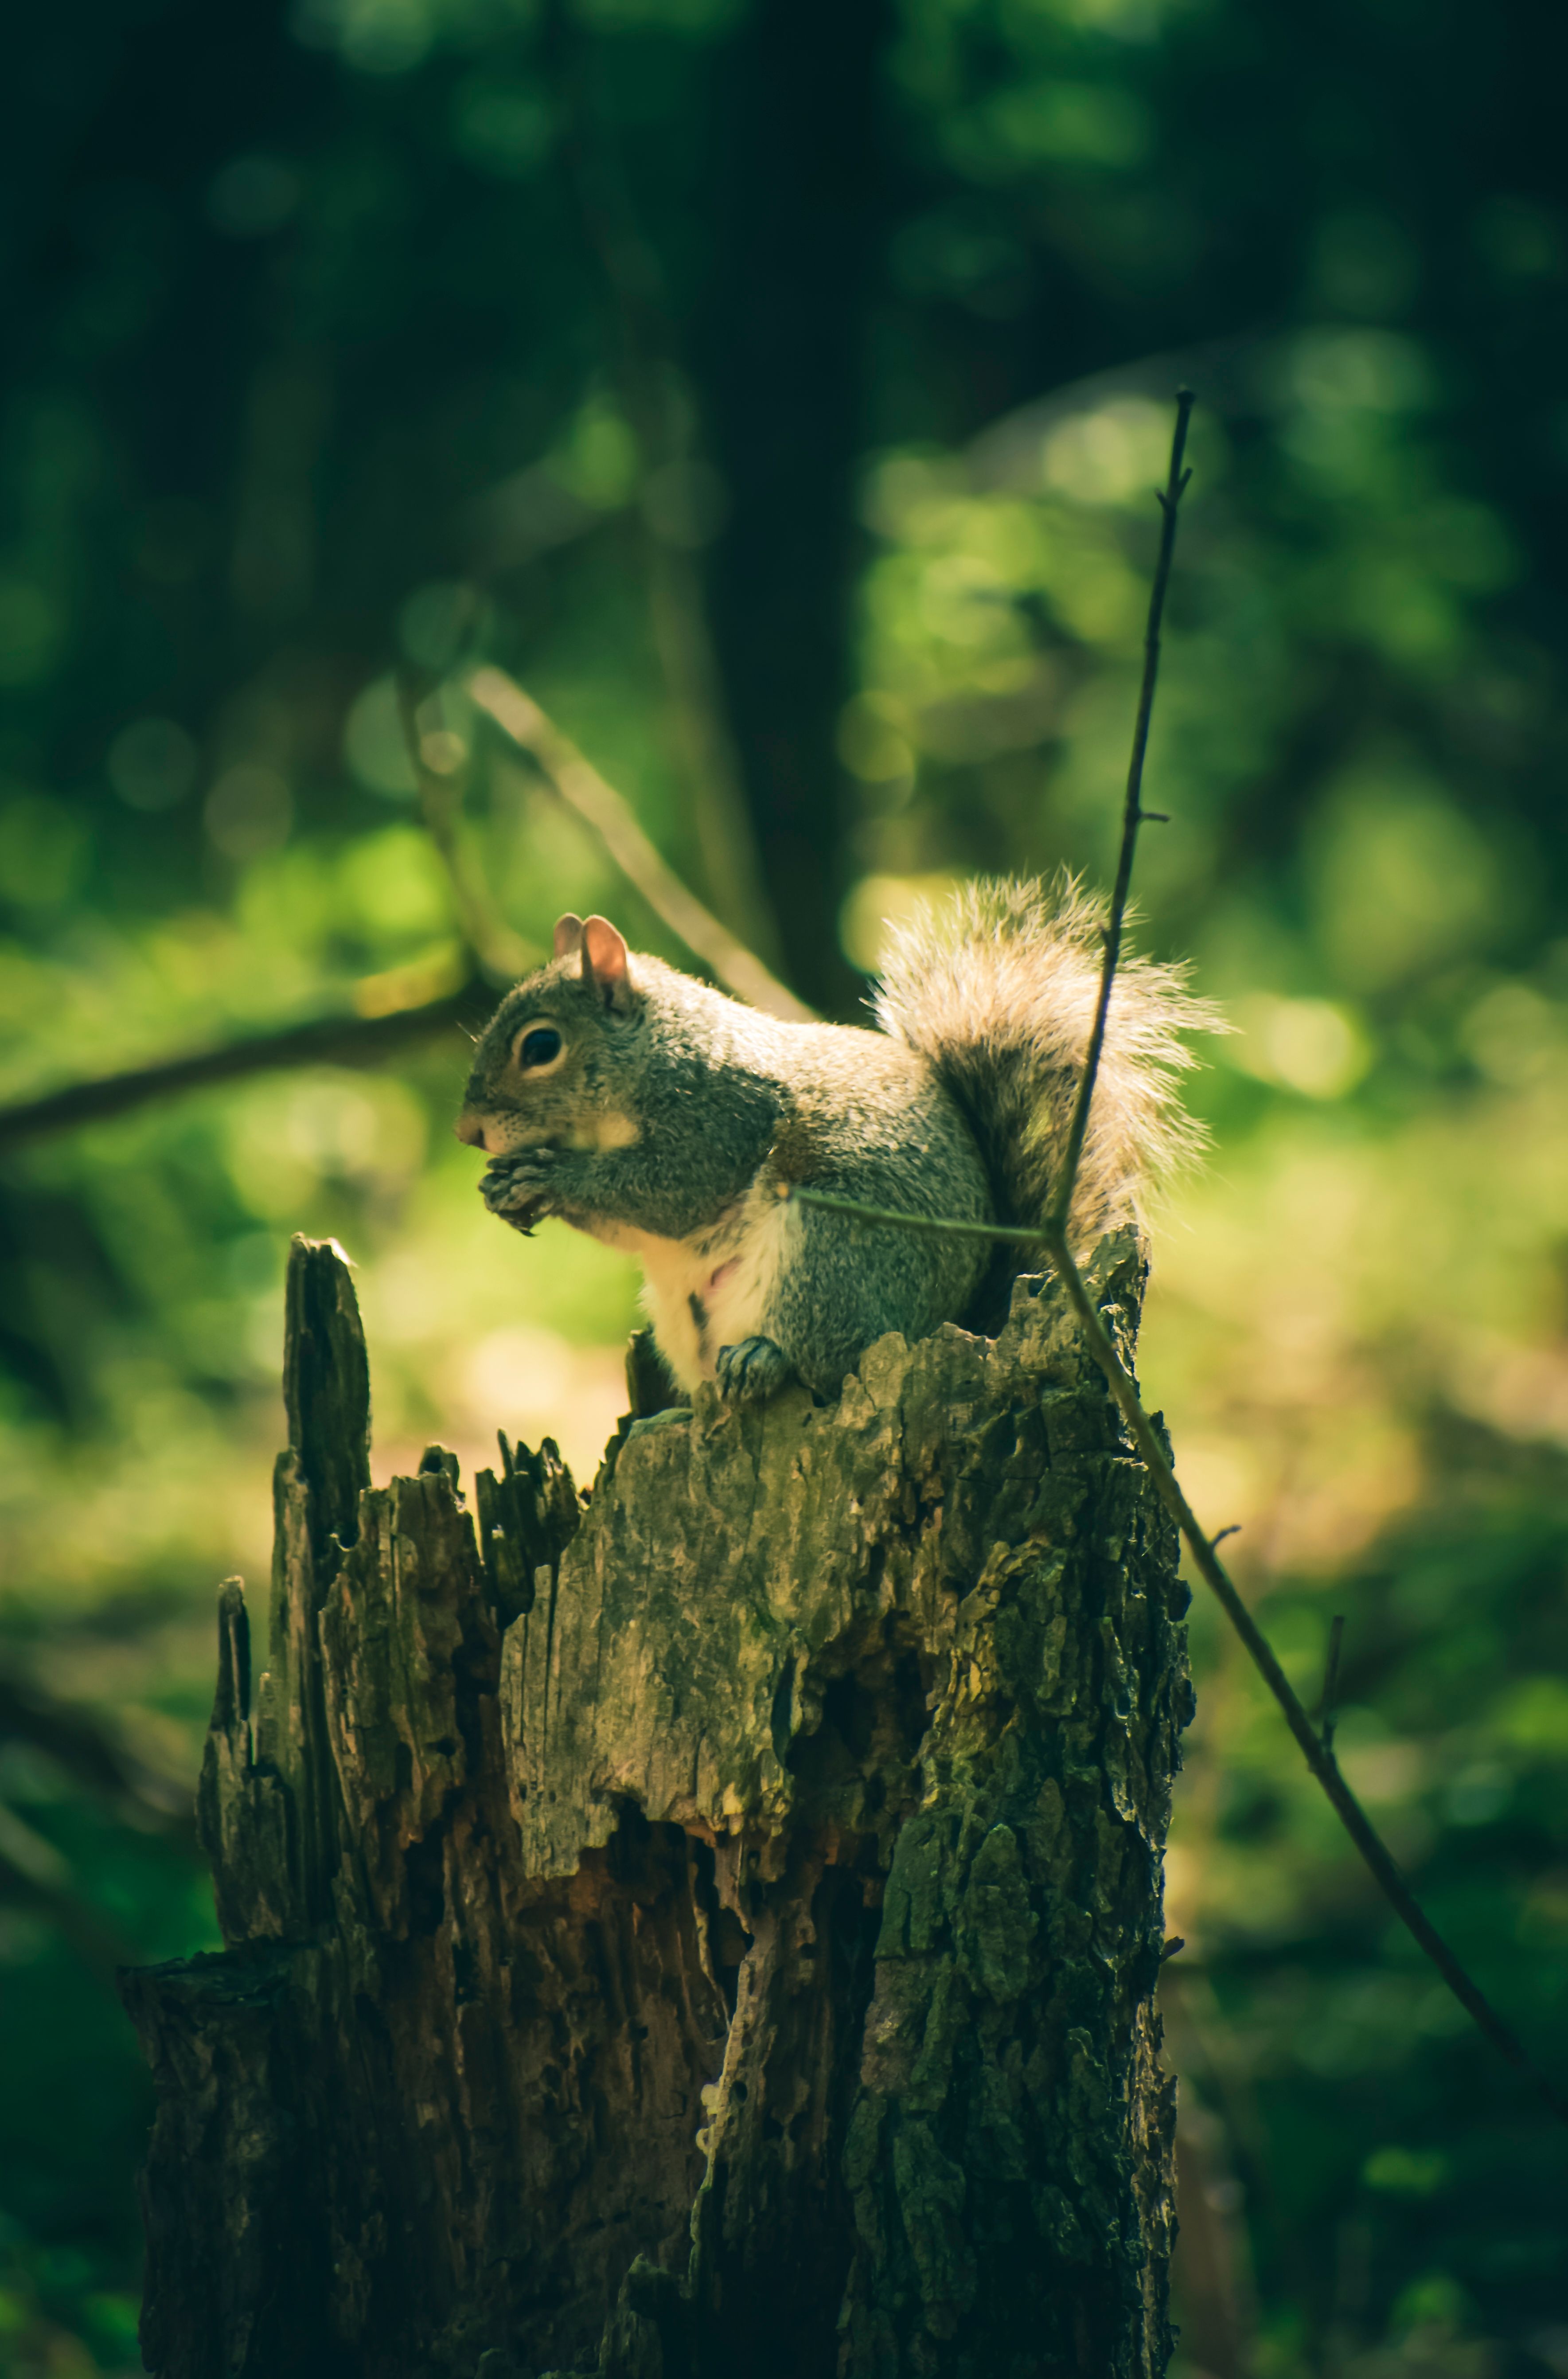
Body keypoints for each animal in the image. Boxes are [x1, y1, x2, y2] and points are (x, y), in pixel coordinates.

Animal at [455, 878, 1214, 1405]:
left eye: (541, 1046)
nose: (468, 1133)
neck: (655, 1055)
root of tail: (958, 1318)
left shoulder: (723, 1116)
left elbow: (673, 1193)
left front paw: (549, 1178)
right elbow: (633, 1225)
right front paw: (502, 1187)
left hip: (833, 1249)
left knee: (828, 1360)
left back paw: (763, 1359)